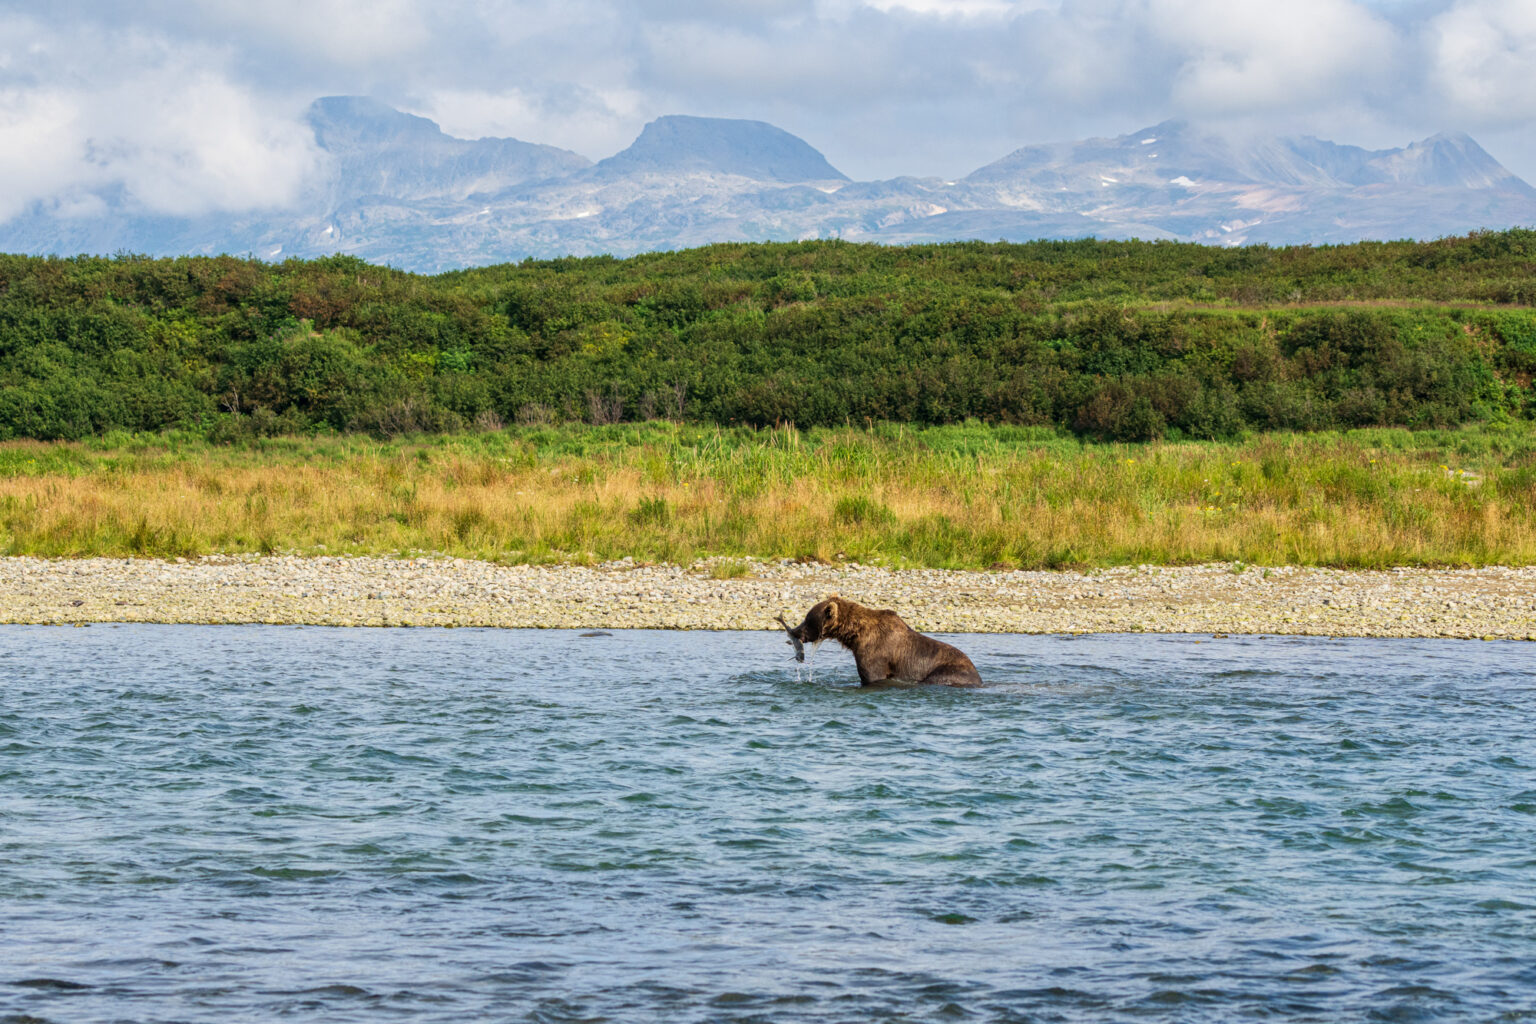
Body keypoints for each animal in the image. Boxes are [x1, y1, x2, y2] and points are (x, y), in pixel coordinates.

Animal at [785, 596, 983, 687]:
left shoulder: (874, 652)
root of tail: (978, 677)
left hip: (949, 672)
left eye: (807, 619)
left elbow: (873, 676)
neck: (856, 634)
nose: (794, 631)